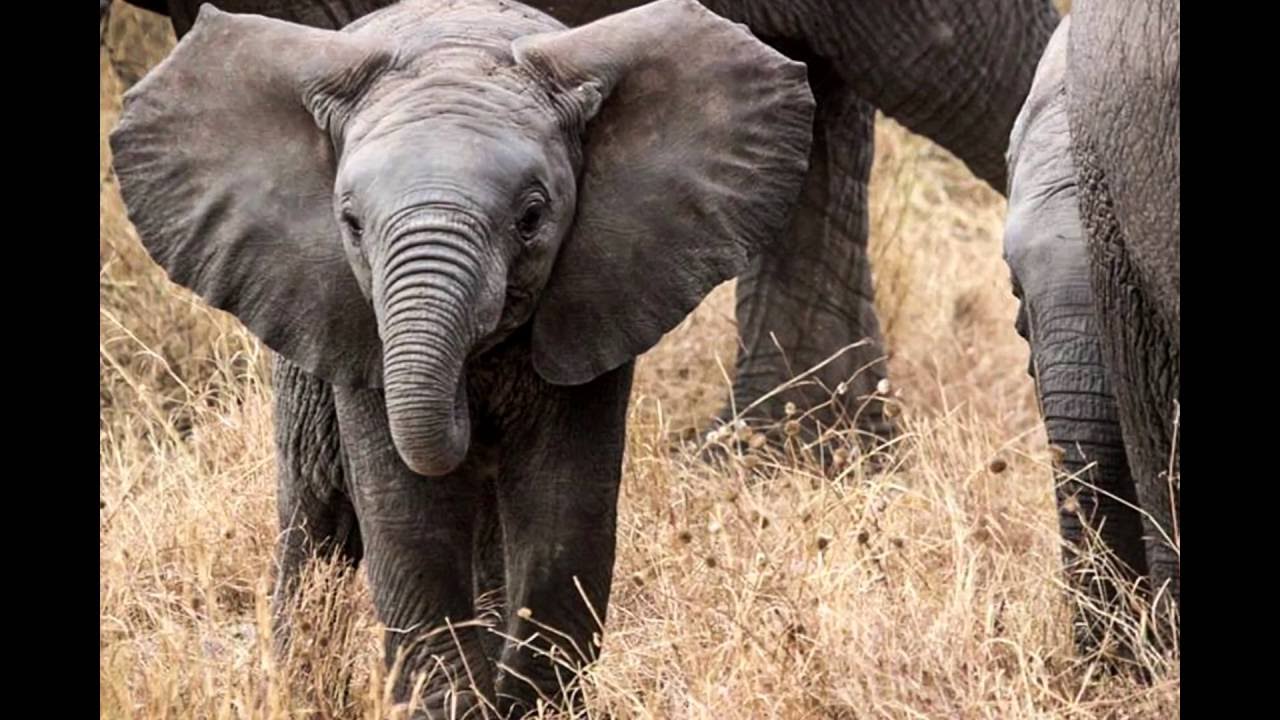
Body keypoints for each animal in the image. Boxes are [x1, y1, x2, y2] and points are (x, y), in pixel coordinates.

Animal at [108, 0, 815, 715]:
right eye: (351, 224)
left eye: (532, 217)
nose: (467, 409)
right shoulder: (351, 325)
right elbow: (406, 513)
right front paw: (454, 705)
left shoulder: (601, 295)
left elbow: (564, 508)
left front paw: (530, 706)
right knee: (316, 513)